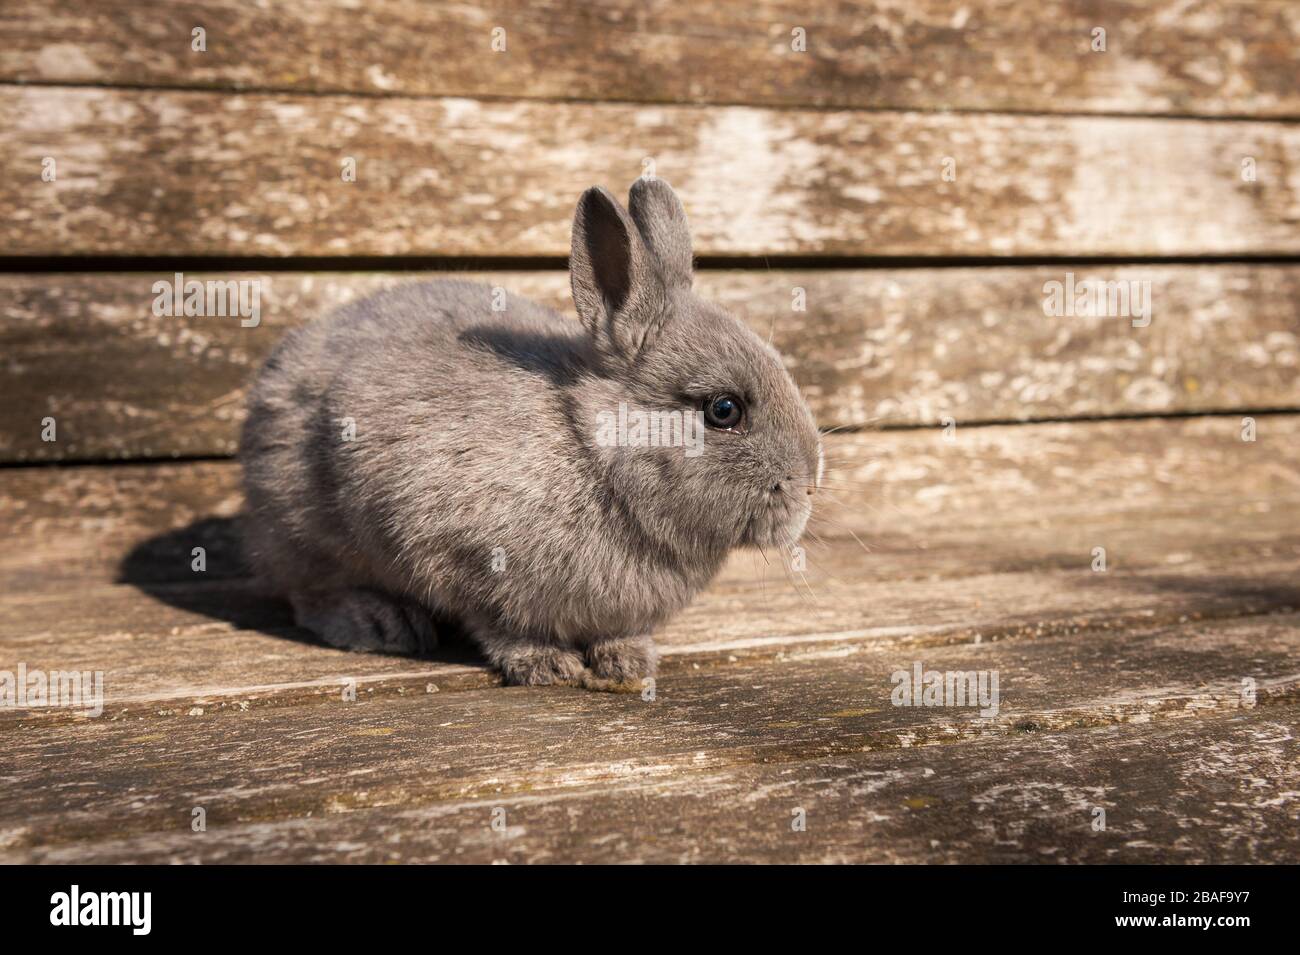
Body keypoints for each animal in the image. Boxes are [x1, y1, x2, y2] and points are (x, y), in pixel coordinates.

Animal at [239, 178, 822, 687]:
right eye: (724, 409)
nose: (809, 486)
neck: (590, 448)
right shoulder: (450, 549)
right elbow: (498, 623)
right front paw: (547, 665)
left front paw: (627, 660)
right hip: (300, 527)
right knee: (309, 590)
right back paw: (380, 623)